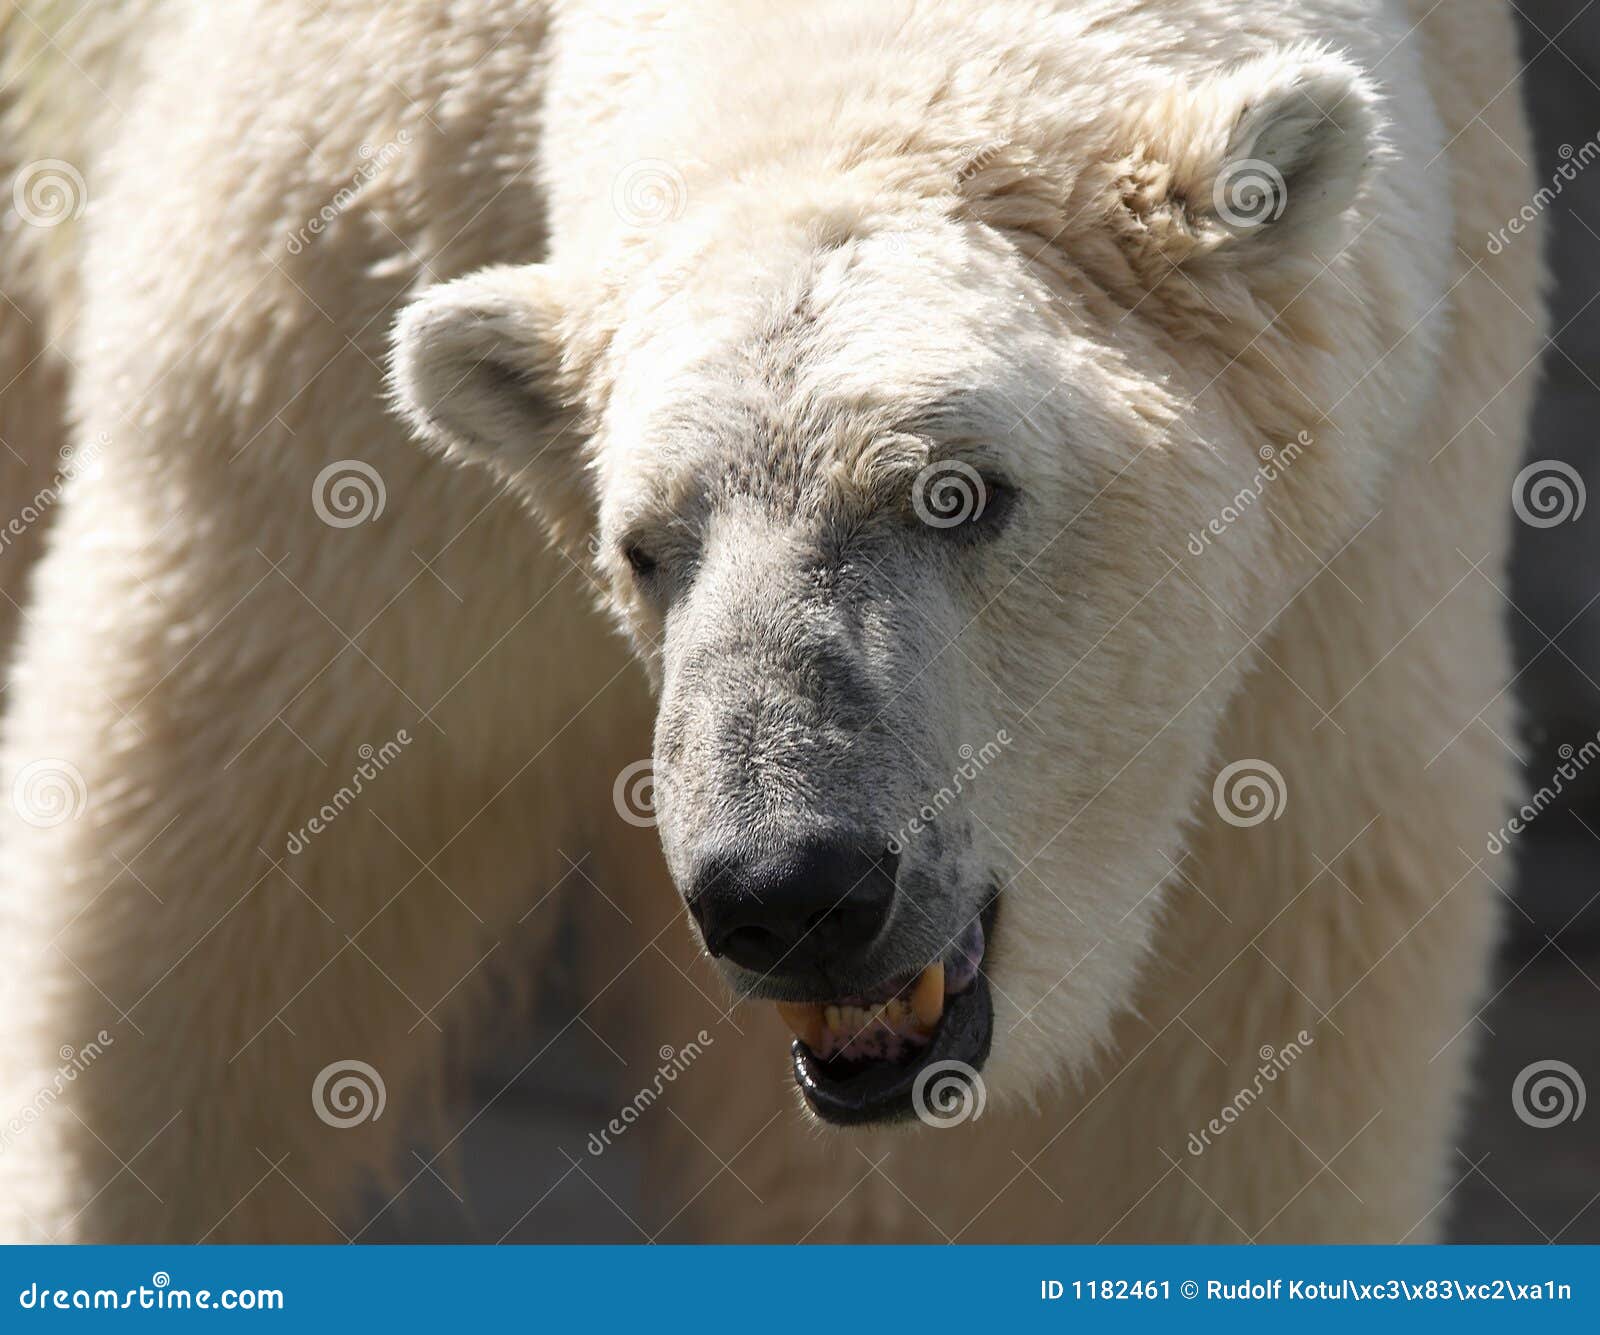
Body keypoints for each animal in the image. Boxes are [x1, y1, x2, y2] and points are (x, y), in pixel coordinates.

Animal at [0, 0, 1543, 1243]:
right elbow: (203, 926)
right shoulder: (337, 357)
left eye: (959, 496)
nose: (792, 890)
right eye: (642, 546)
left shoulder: (1332, 611)